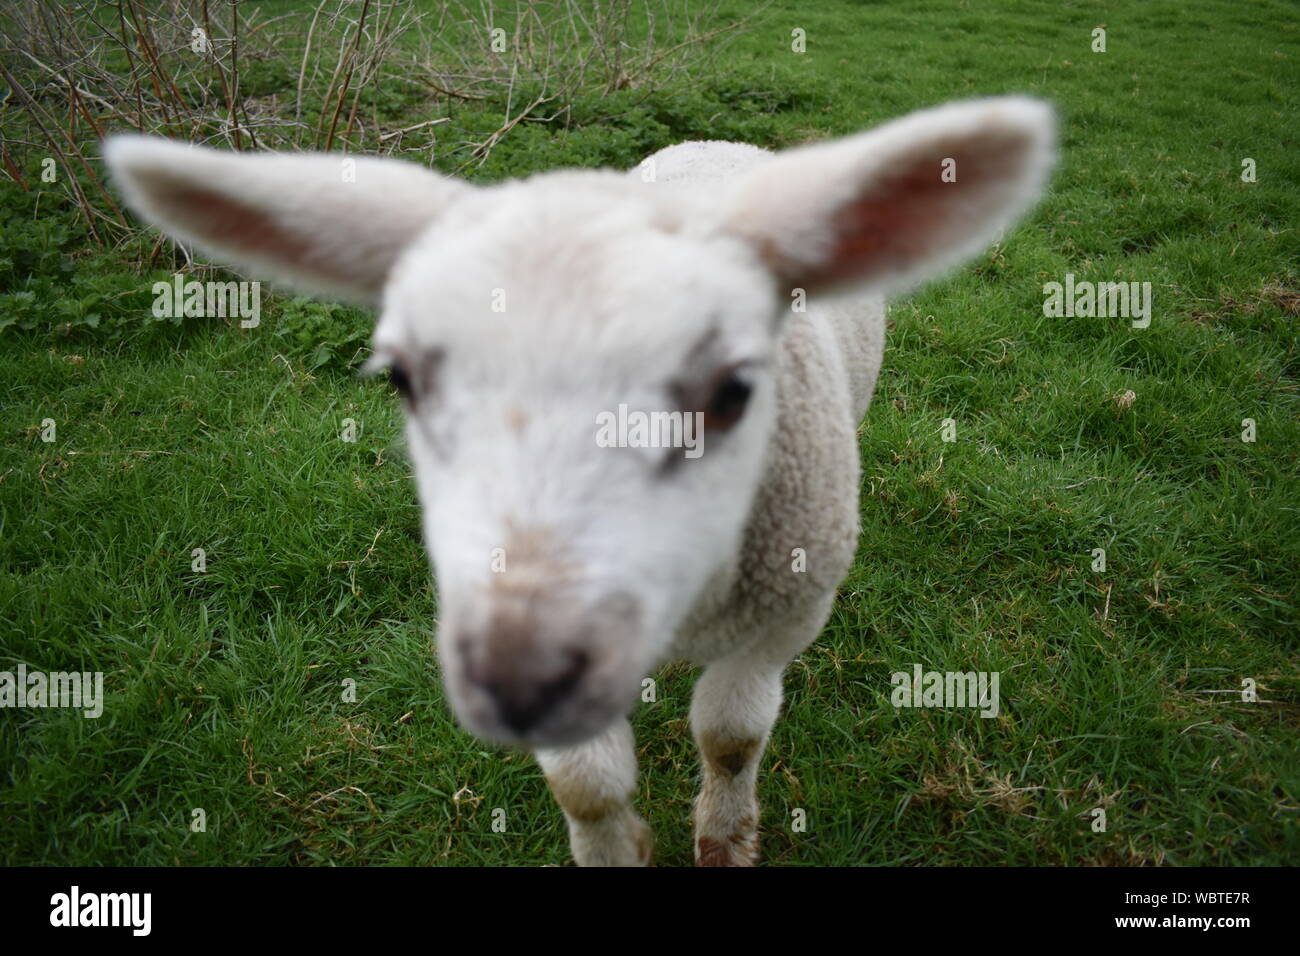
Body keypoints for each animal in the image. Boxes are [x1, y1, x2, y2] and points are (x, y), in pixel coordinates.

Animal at [104, 96, 1055, 866]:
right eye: (402, 379)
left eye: (732, 390)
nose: (518, 682)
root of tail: (714, 140)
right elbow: (585, 785)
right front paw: (615, 844)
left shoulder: (787, 613)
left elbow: (731, 736)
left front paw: (724, 838)